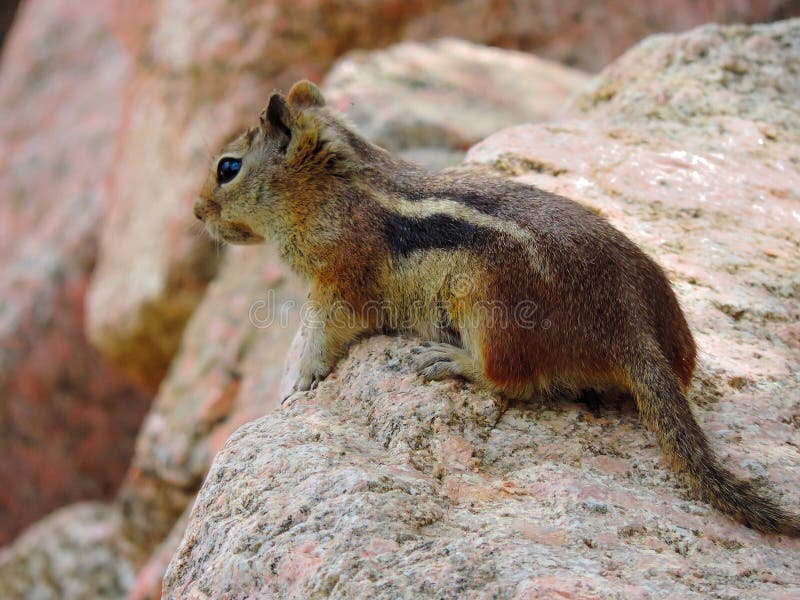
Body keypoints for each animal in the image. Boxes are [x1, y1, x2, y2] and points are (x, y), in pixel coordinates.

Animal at [194, 80, 799, 536]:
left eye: (228, 168)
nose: (197, 212)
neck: (338, 189)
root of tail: (629, 333)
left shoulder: (339, 280)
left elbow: (325, 333)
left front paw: (300, 380)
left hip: (489, 307)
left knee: (515, 379)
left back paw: (451, 362)